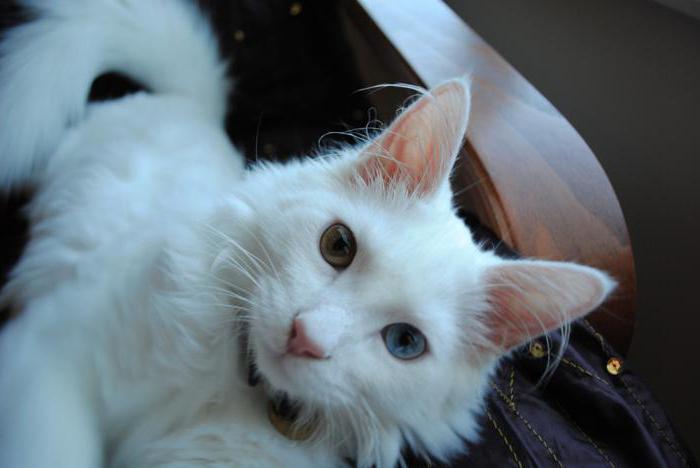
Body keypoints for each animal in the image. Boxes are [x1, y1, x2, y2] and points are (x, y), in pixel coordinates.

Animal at [0, 0, 612, 468]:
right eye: (338, 246)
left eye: (404, 343)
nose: (306, 337)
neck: (233, 381)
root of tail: (192, 106)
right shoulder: (53, 352)